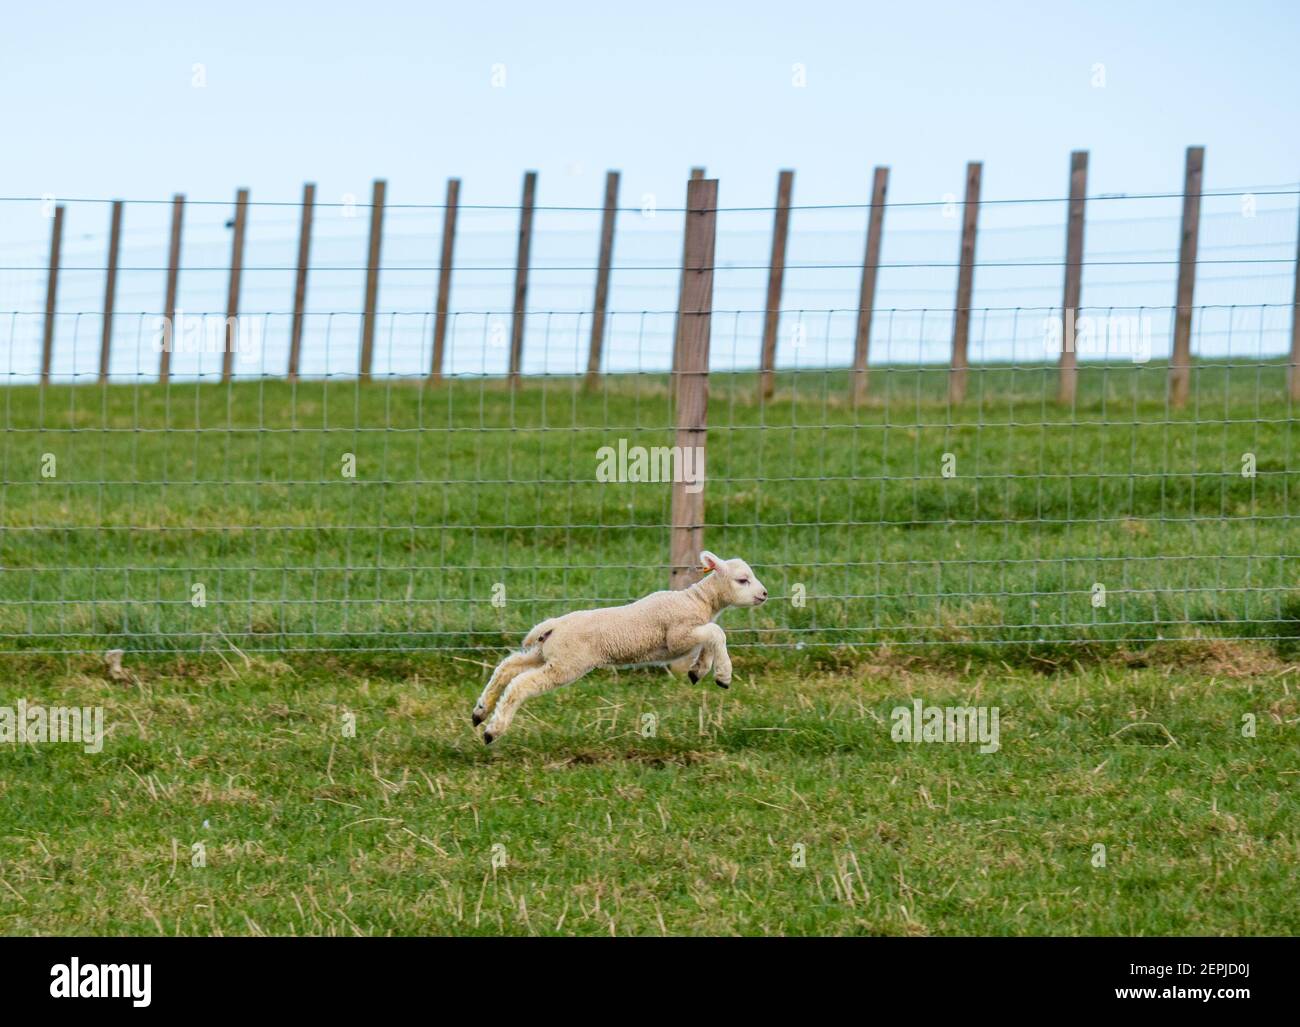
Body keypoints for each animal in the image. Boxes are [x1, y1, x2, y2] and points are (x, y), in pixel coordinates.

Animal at [472, 551, 768, 744]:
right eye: (742, 580)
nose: (764, 594)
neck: (699, 600)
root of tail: (552, 625)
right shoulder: (677, 636)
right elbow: (716, 633)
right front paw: (723, 675)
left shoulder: (689, 634)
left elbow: (711, 638)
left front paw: (699, 670)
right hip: (567, 663)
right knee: (521, 684)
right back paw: (492, 731)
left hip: (546, 653)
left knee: (507, 668)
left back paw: (480, 711)